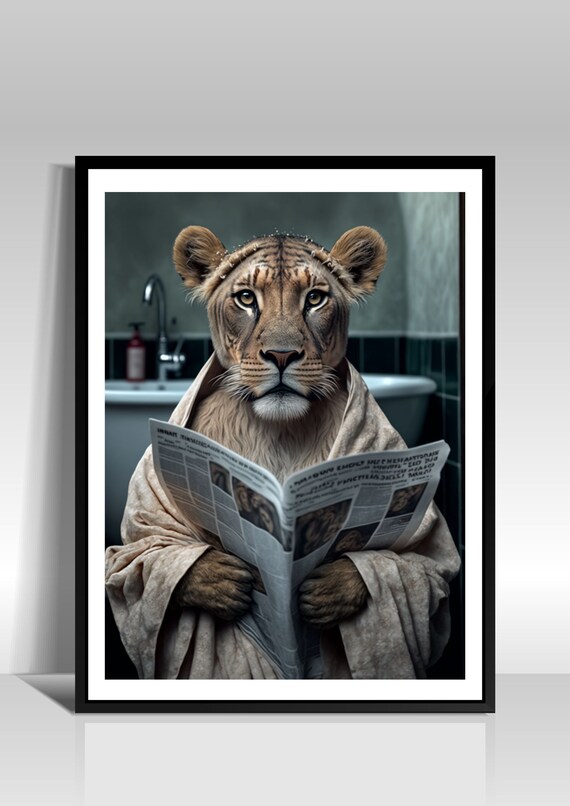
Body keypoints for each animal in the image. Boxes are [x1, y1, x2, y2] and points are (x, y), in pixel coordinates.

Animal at [171, 225, 387, 630]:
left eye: (315, 298)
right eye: (245, 298)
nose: (282, 355)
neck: (281, 433)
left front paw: (326, 592)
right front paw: (222, 583)